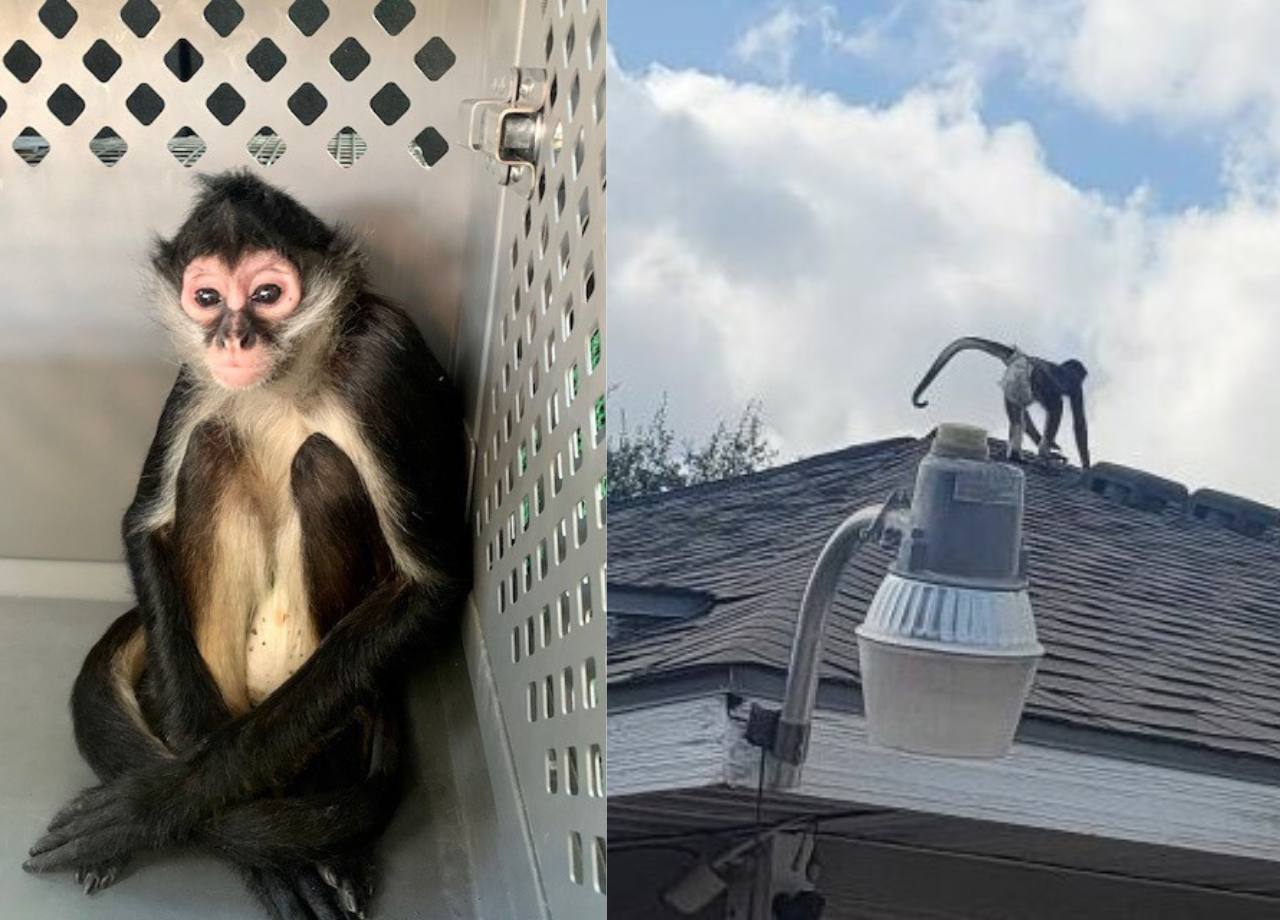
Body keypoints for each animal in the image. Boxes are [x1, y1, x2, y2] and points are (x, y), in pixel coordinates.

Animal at [22, 170, 471, 920]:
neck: (285, 382)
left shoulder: (385, 355)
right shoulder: (194, 371)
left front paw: (156, 803)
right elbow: (143, 524)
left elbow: (432, 588)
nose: (232, 339)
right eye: (207, 299)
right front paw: (220, 817)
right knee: (211, 447)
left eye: (266, 295)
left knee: (321, 464)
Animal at [912, 336, 1091, 469]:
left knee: (1018, 417)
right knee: (1056, 406)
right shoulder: (1076, 385)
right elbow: (1079, 423)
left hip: (1012, 384)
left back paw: (1016, 456)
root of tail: (1020, 356)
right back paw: (1043, 453)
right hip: (1030, 379)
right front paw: (1086, 467)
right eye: (1082, 375)